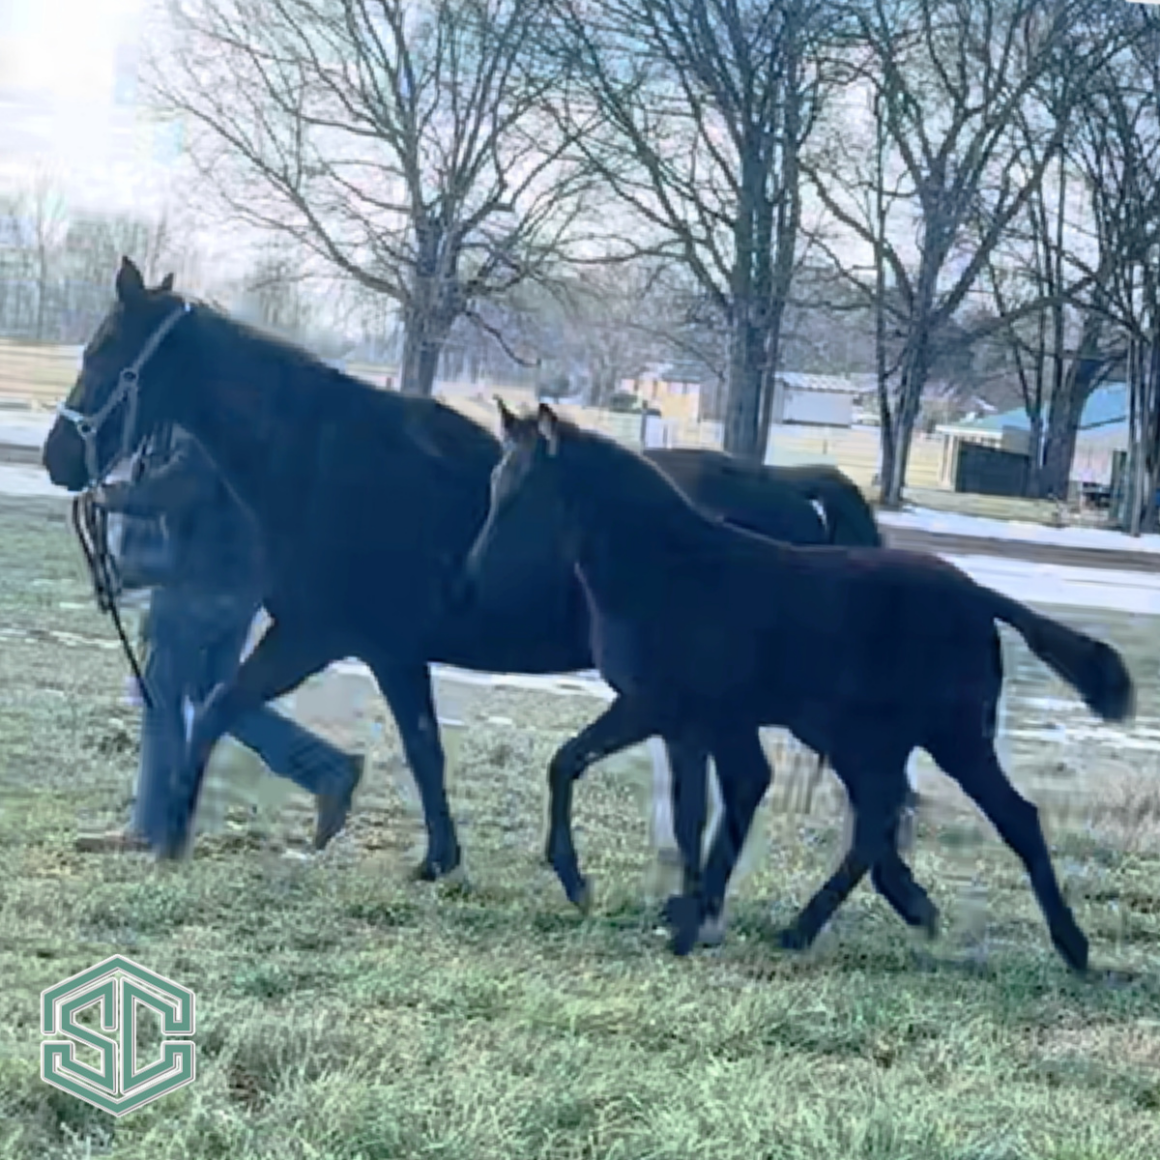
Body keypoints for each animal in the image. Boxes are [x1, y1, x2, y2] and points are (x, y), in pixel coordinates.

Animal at [41, 258, 885, 906]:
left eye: (105, 351)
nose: (56, 456)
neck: (327, 467)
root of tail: (788, 486)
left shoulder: (319, 635)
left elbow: (219, 706)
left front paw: (174, 833)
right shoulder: (390, 651)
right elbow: (423, 750)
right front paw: (435, 857)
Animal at [460, 402, 1135, 973]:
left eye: (527, 494)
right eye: (494, 486)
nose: (476, 576)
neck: (669, 570)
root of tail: (977, 596)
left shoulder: (658, 708)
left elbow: (591, 771)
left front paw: (605, 893)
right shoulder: (683, 722)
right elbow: (666, 803)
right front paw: (674, 912)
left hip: (947, 737)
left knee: (1010, 817)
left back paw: (1071, 946)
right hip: (867, 742)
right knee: (876, 825)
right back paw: (812, 927)